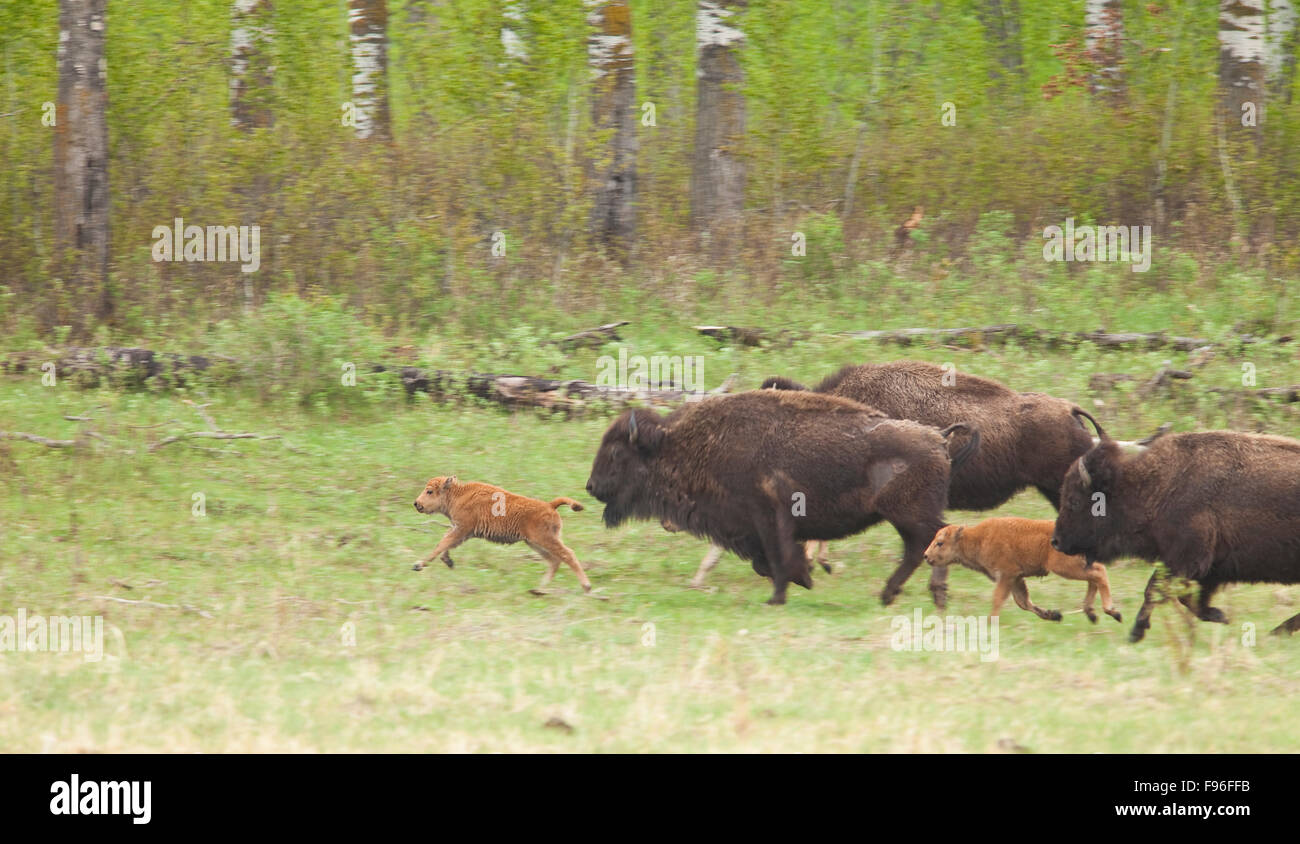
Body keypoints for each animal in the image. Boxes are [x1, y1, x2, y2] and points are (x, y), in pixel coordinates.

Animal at [585, 389, 973, 606]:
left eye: (617, 453)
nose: (591, 486)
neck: (682, 444)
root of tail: (939, 438)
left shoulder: (767, 518)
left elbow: (776, 557)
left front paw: (779, 595)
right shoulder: (752, 528)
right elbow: (767, 560)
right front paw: (802, 578)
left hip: (907, 513)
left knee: (928, 540)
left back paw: (921, 594)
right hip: (904, 515)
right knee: (920, 546)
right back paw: (897, 595)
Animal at [1052, 413, 1300, 642]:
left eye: (1074, 501)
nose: (1056, 541)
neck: (1157, 486)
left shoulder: (1184, 559)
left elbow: (1154, 589)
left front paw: (1136, 632)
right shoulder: (1207, 568)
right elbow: (1188, 598)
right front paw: (1220, 615)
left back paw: (1279, 631)